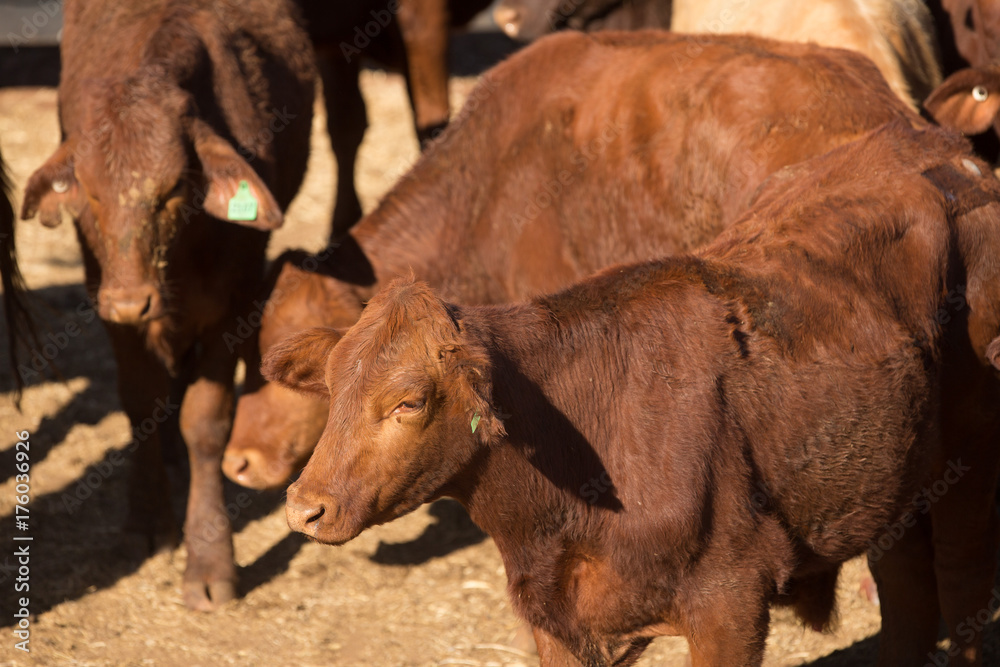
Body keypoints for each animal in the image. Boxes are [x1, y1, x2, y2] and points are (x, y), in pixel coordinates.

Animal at [18, 0, 315, 611]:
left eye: (175, 188)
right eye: (89, 190)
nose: (134, 300)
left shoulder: (233, 301)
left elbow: (207, 423)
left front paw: (209, 561)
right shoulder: (105, 297)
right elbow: (138, 402)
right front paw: (145, 520)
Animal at [275, 120, 1000, 667]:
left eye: (409, 401)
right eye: (332, 390)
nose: (304, 508)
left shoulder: (730, 602)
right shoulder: (561, 623)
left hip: (969, 469)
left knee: (962, 586)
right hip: (896, 476)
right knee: (908, 587)